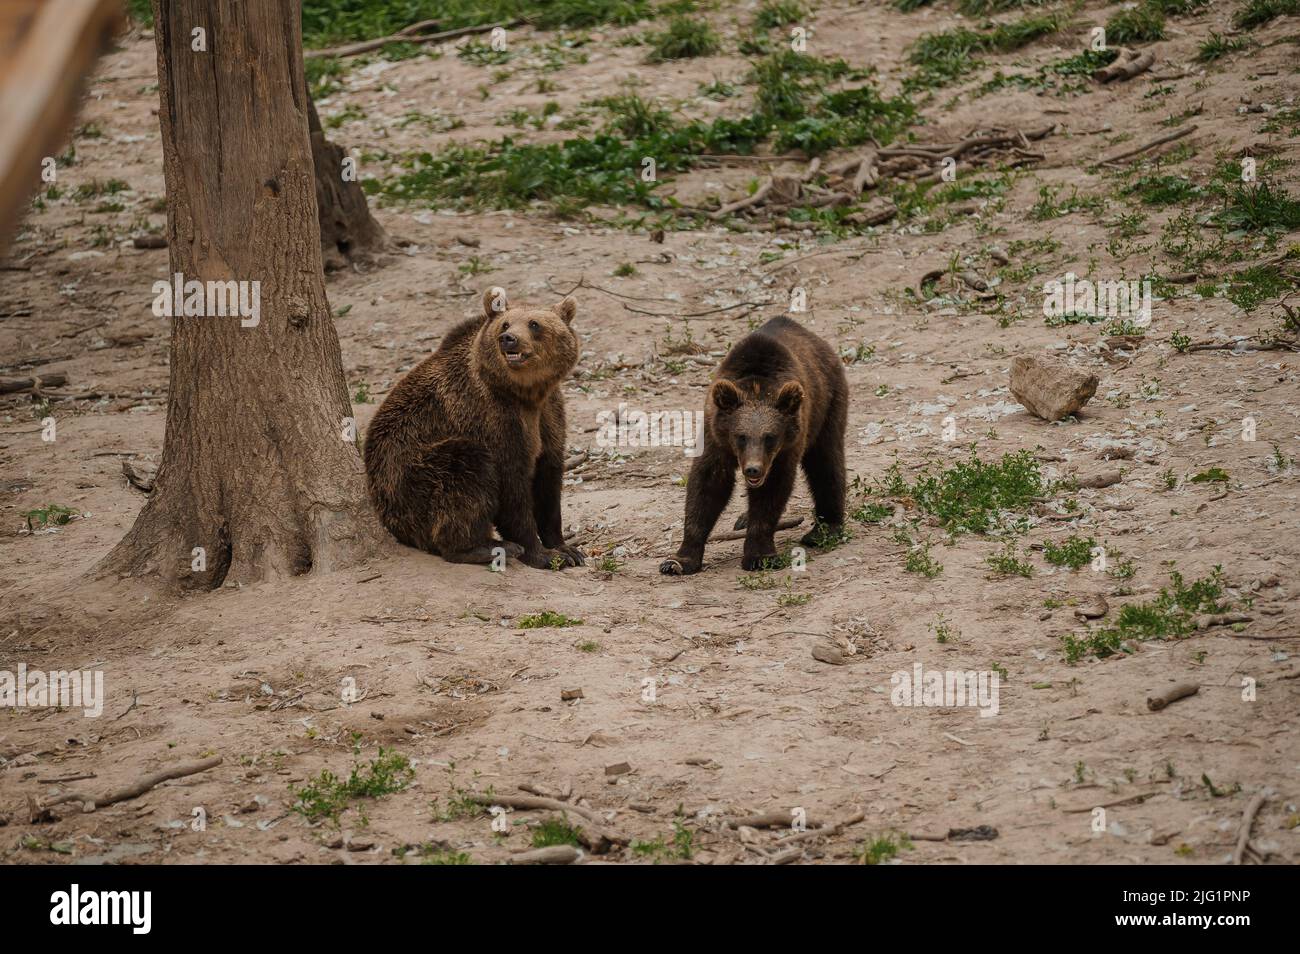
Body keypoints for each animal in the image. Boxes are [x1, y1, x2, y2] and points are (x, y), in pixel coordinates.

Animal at [364, 287, 586, 570]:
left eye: (534, 323)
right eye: (505, 324)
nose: (508, 339)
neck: (524, 393)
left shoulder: (549, 413)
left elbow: (548, 477)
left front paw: (567, 548)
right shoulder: (492, 416)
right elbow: (511, 484)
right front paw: (542, 554)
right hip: (408, 482)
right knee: (465, 468)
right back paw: (485, 547)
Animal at [660, 315, 847, 575]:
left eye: (770, 437)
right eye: (741, 436)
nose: (753, 469)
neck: (757, 386)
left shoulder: (785, 449)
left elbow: (771, 491)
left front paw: (760, 555)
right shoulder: (715, 435)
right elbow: (708, 484)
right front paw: (678, 560)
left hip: (828, 403)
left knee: (826, 461)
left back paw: (825, 529)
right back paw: (743, 518)